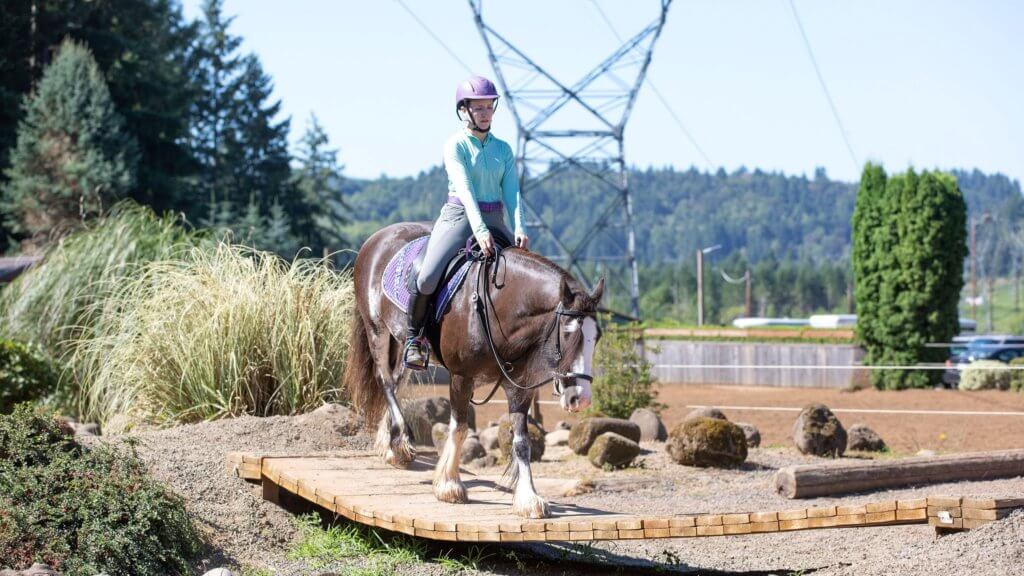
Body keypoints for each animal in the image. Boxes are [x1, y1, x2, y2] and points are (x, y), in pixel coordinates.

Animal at [343, 221, 604, 518]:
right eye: (567, 333)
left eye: (597, 337)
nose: (580, 398)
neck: (498, 306)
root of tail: (378, 237)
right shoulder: (461, 377)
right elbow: (459, 428)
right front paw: (449, 486)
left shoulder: (519, 387)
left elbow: (522, 442)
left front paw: (528, 498)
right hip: (378, 331)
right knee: (385, 381)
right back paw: (401, 444)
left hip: (400, 345)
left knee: (396, 382)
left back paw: (391, 447)